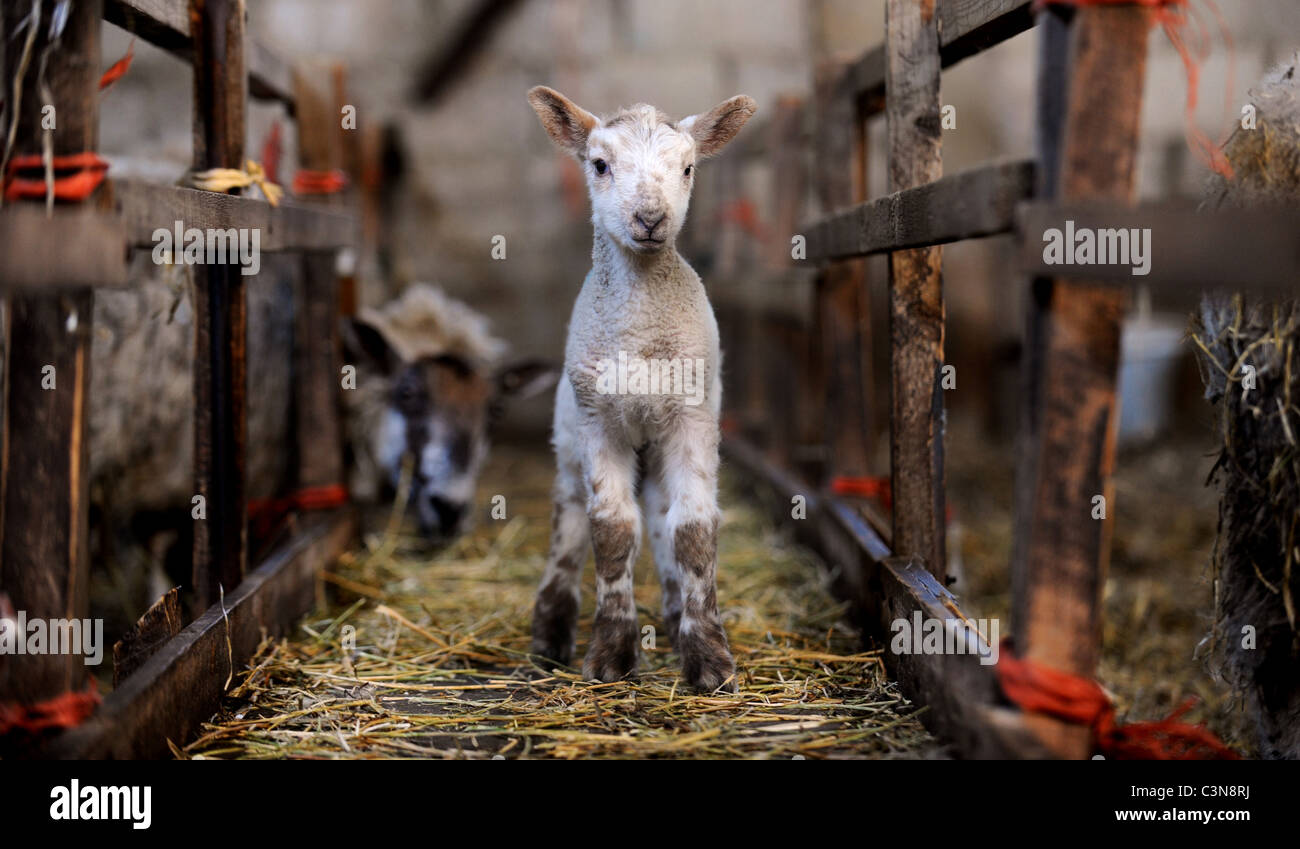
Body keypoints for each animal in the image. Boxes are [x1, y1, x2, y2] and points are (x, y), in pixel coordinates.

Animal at [525, 86, 756, 691]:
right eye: (599, 165)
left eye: (688, 168)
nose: (650, 218)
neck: (642, 336)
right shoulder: (598, 422)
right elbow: (611, 531)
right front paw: (611, 655)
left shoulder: (693, 420)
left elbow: (693, 531)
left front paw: (709, 659)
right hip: (567, 444)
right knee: (569, 524)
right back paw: (549, 634)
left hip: (655, 452)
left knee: (660, 520)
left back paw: (675, 614)